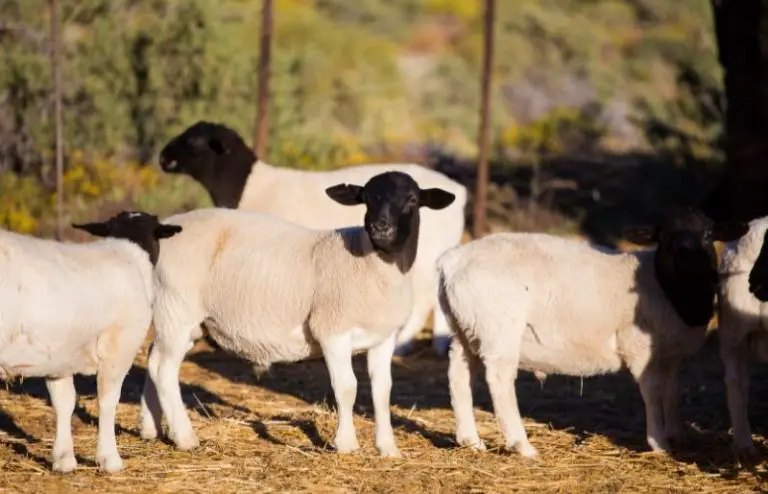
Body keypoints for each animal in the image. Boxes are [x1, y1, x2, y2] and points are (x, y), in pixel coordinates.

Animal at [0, 212, 183, 473]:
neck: (129, 252)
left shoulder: (60, 354)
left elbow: (64, 402)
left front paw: (64, 459)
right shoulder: (119, 348)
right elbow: (107, 401)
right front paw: (109, 459)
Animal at [139, 171, 455, 457]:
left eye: (412, 200)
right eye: (366, 198)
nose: (381, 228)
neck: (373, 264)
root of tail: (165, 230)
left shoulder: (384, 337)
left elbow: (382, 391)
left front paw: (388, 448)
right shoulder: (332, 330)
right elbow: (347, 387)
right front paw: (346, 444)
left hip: (180, 318)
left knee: (153, 361)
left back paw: (150, 427)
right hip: (177, 308)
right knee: (163, 369)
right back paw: (185, 437)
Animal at [158, 121, 467, 357]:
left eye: (193, 142)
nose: (162, 158)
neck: (248, 185)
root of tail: (459, 192)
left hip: (426, 255)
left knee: (425, 300)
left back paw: (405, 344)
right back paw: (440, 345)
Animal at [437, 208, 747, 457]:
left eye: (708, 234)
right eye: (666, 238)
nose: (686, 261)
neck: (668, 289)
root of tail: (451, 260)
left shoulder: (671, 354)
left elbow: (672, 391)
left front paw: (677, 434)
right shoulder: (638, 348)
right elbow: (652, 391)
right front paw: (659, 443)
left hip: (466, 328)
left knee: (458, 375)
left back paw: (470, 440)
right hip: (498, 330)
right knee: (499, 379)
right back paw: (522, 445)